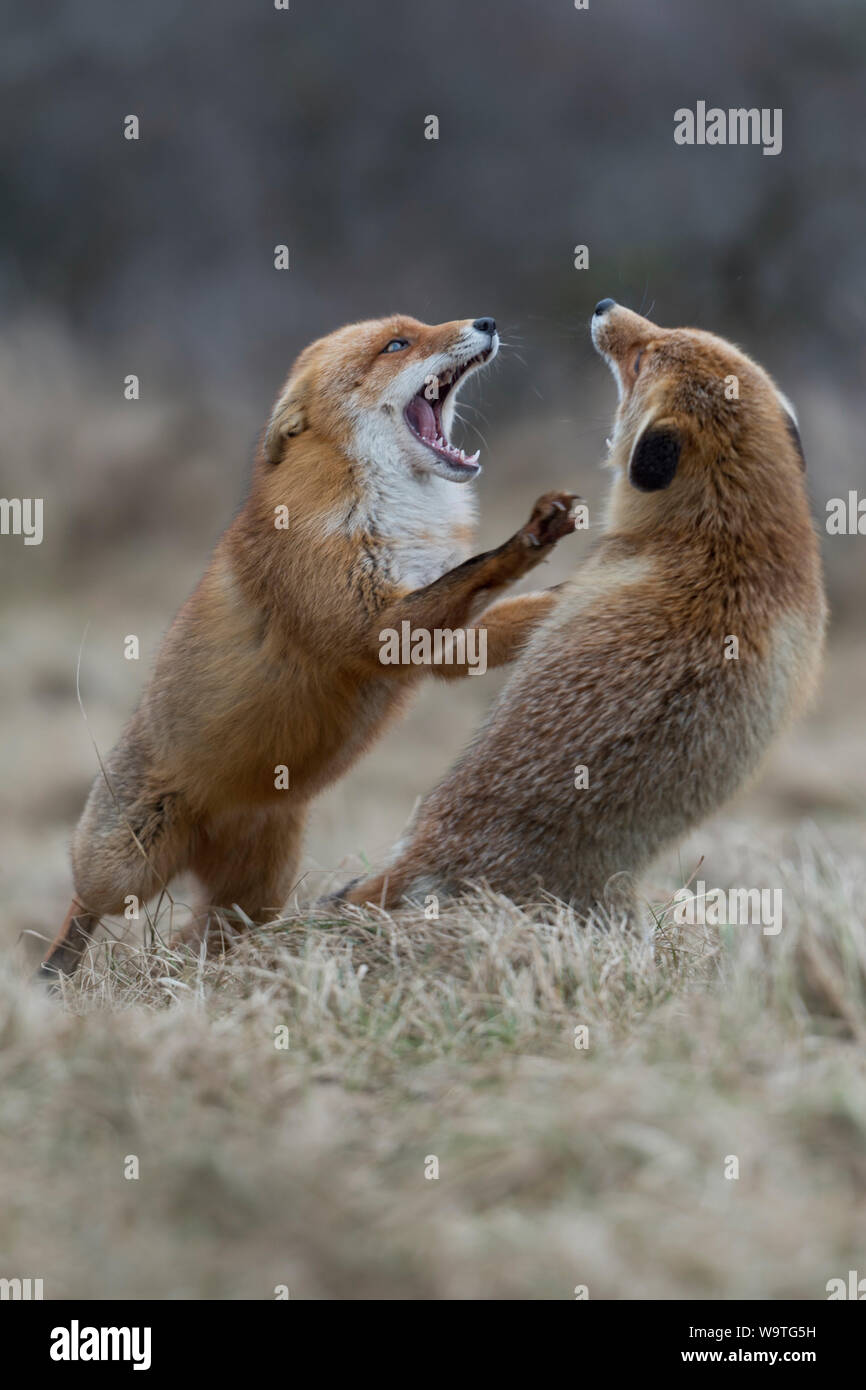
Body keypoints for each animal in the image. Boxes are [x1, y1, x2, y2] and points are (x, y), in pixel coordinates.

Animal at [39, 314, 579, 979]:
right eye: (396, 344)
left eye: (421, 326)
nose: (487, 322)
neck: (398, 516)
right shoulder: (372, 629)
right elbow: (472, 572)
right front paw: (526, 540)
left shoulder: (447, 645)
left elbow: (504, 600)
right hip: (127, 865)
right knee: (84, 908)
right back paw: (51, 977)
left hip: (257, 891)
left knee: (199, 940)